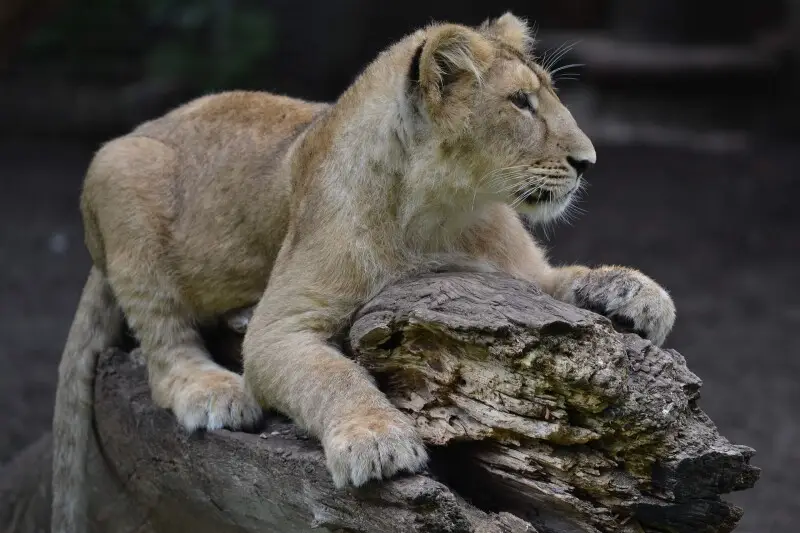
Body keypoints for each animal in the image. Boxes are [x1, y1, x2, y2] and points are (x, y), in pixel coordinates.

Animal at [51, 13, 675, 533]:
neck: (444, 212)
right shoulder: (281, 327)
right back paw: (212, 390)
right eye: (520, 102)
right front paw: (377, 440)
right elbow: (331, 376)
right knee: (163, 344)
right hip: (120, 172)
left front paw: (640, 294)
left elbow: (569, 277)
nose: (587, 162)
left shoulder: (520, 274)